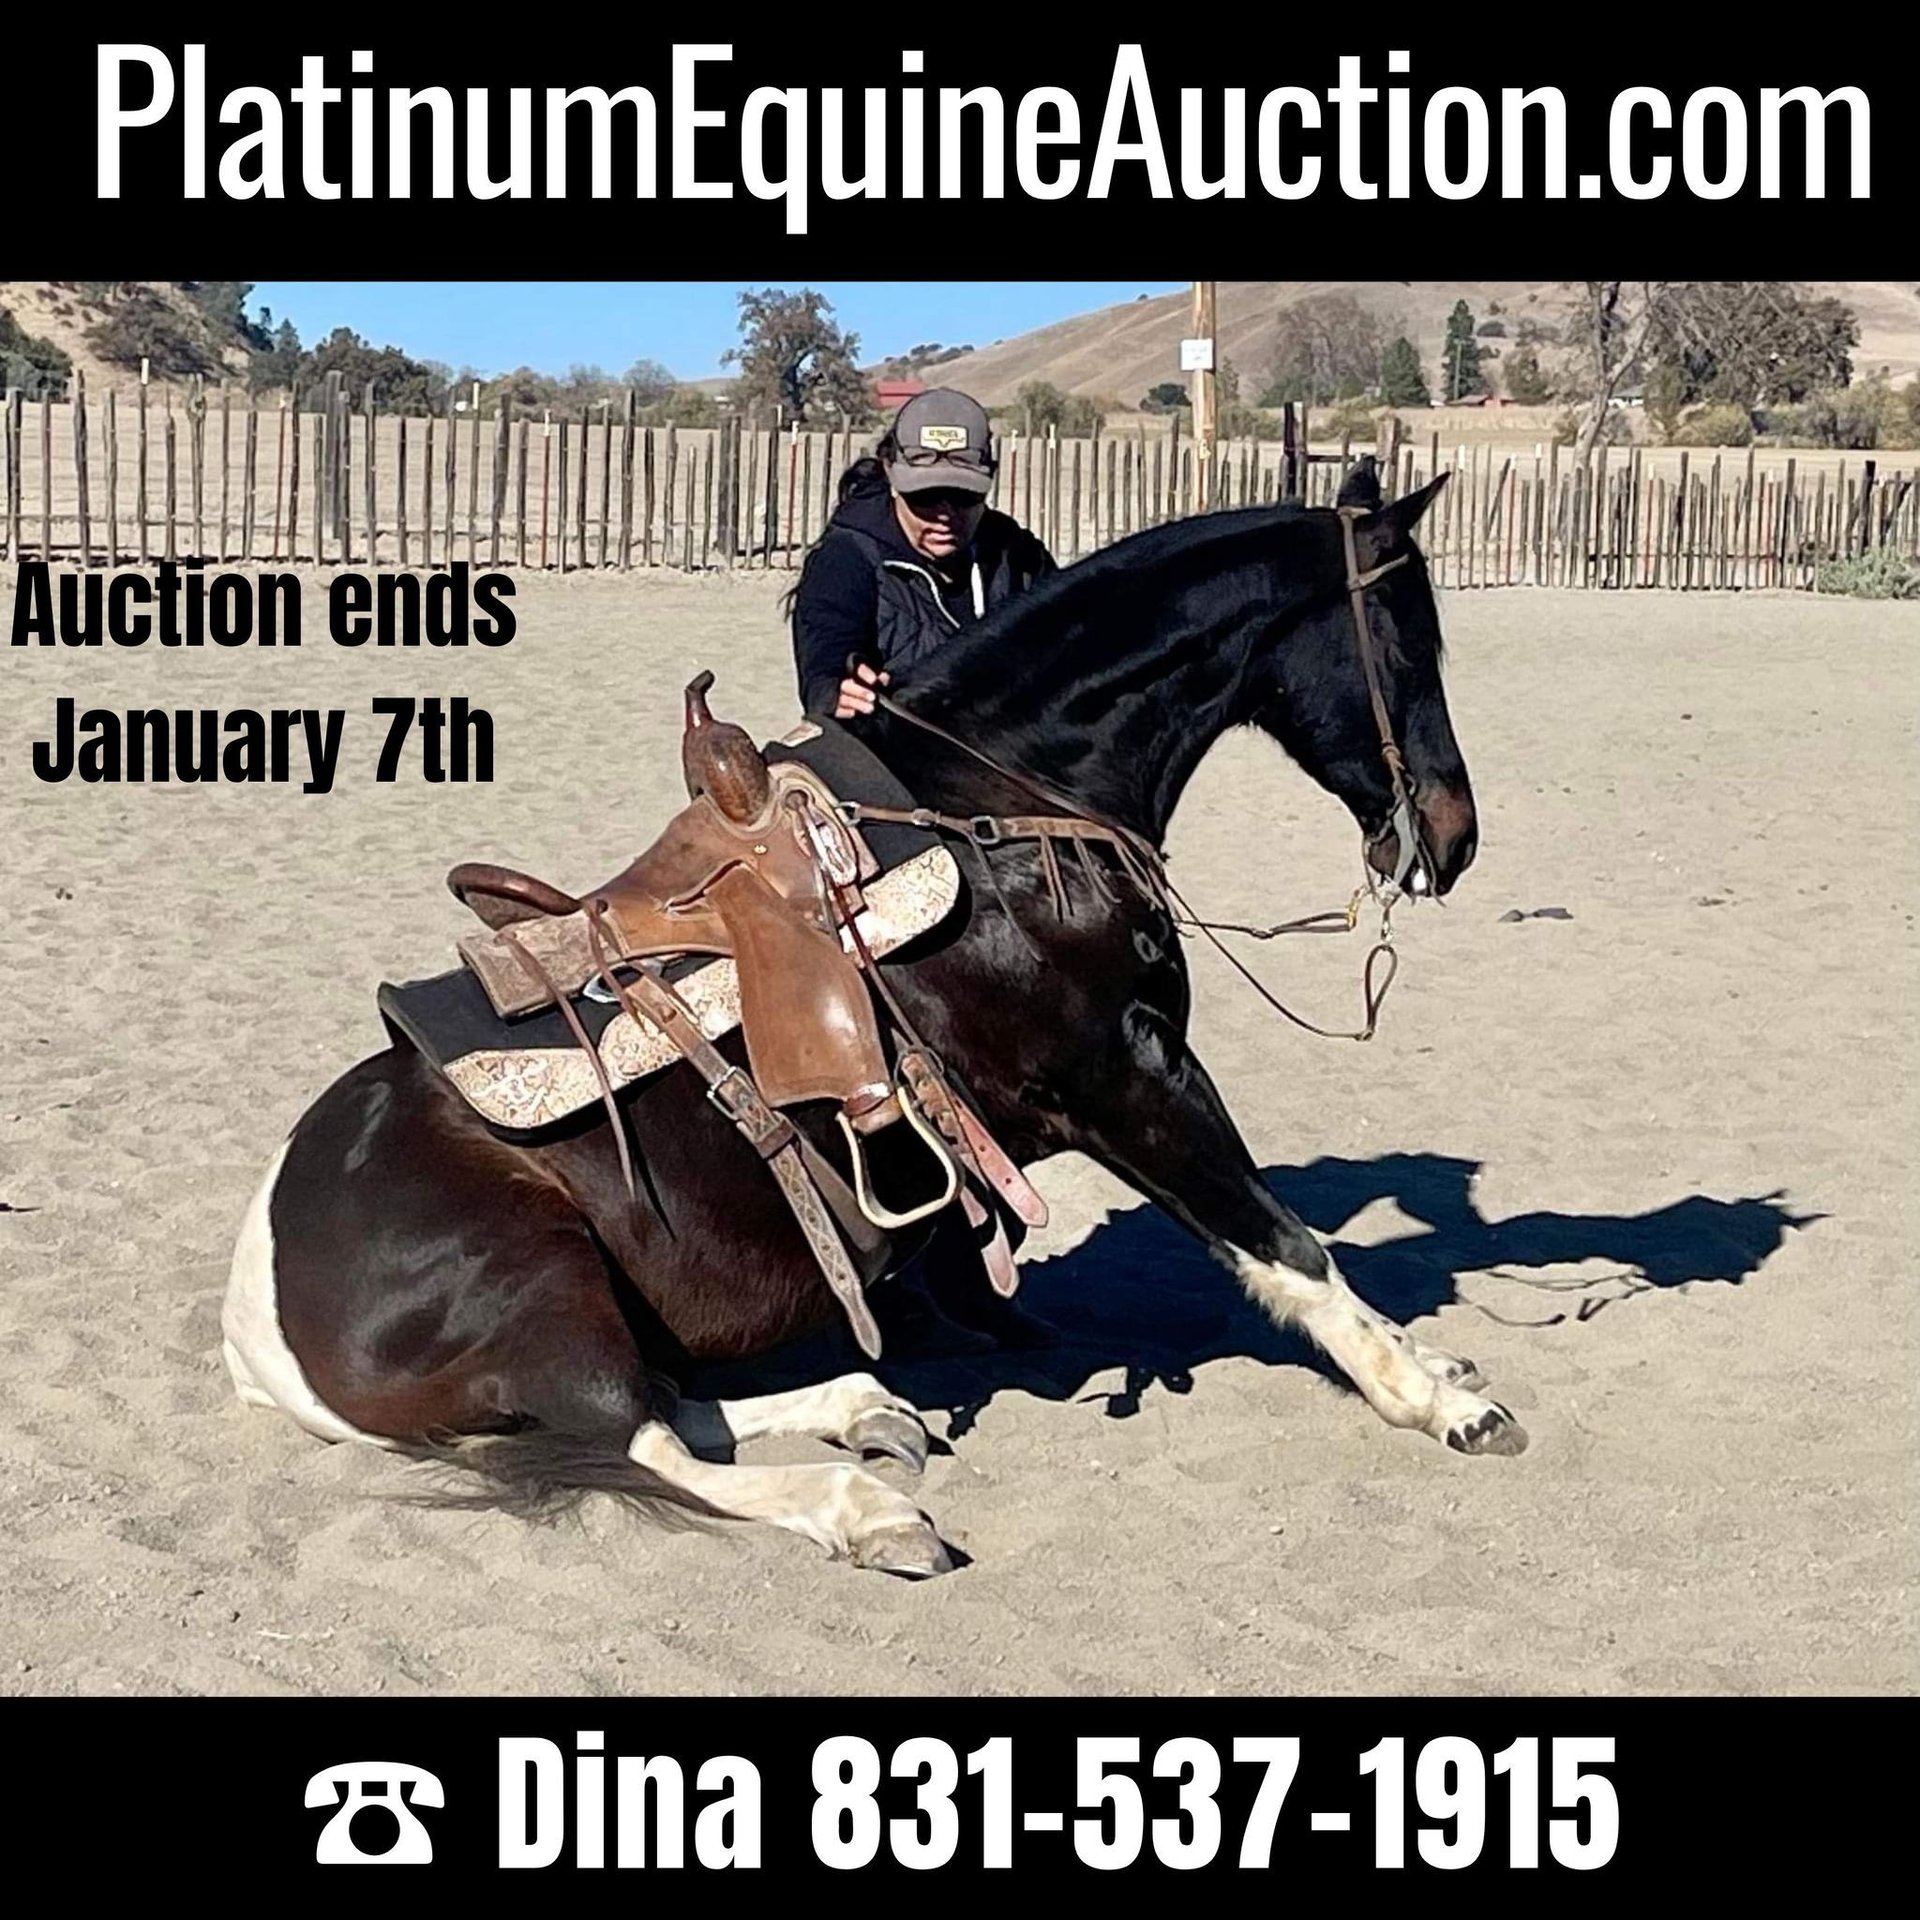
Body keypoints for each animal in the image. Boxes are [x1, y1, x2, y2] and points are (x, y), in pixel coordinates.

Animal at [221, 459, 1517, 1579]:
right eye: (1409, 638)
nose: (1453, 836)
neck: (1004, 804)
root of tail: (256, 1325)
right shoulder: (1130, 1075)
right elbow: (1285, 1244)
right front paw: (1439, 1397)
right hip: (539, 1281)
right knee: (638, 1438)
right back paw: (867, 1504)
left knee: (677, 1409)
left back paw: (867, 1409)